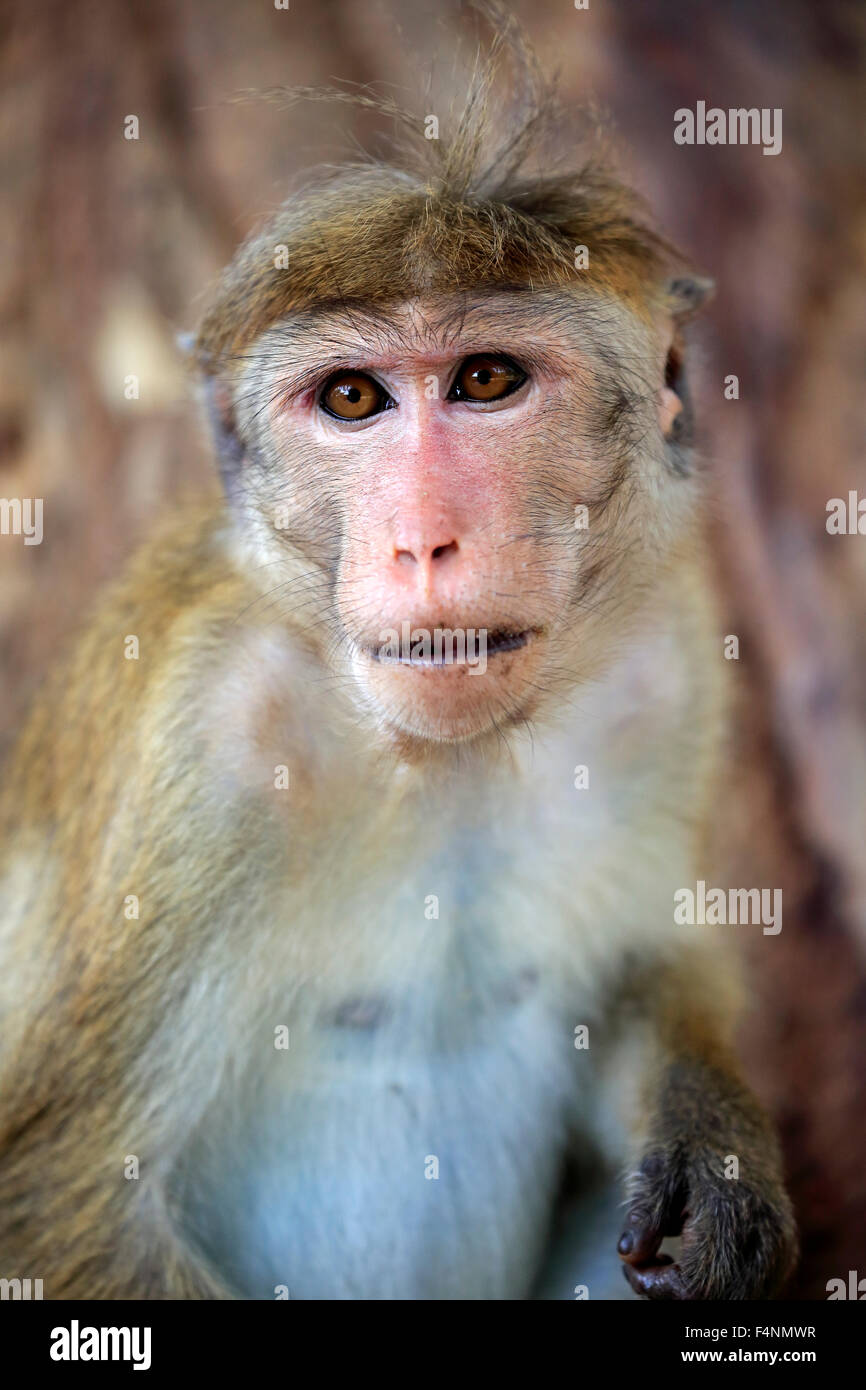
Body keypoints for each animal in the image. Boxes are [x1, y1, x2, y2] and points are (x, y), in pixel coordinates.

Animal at [0, 23, 796, 1301]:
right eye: (350, 397)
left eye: (484, 379)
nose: (422, 537)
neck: (437, 752)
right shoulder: (199, 731)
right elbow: (62, 1182)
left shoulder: (664, 669)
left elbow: (643, 960)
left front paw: (712, 1153)